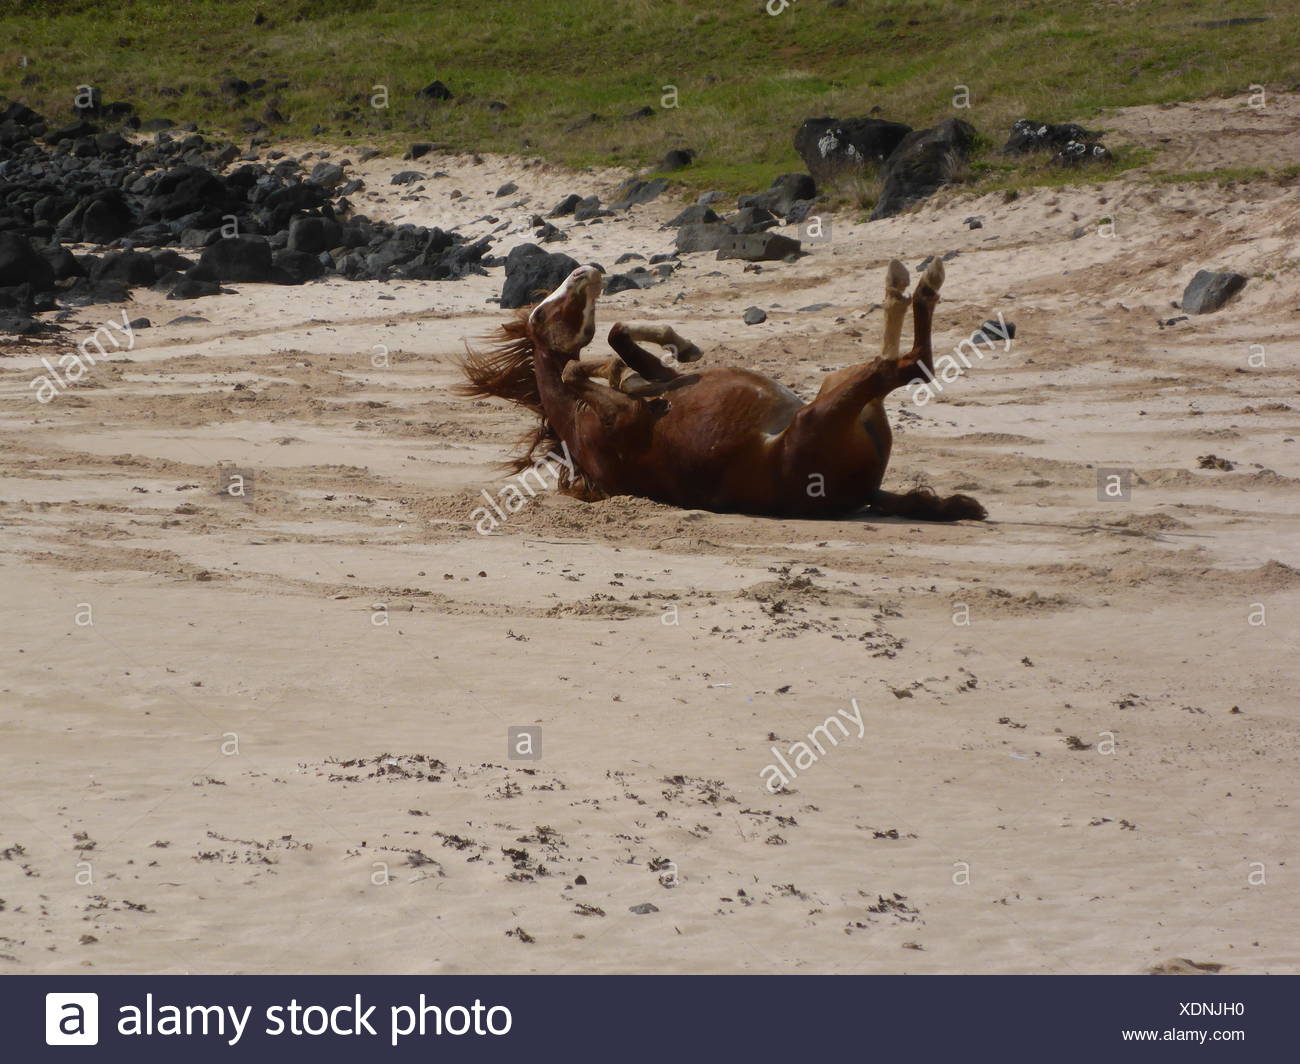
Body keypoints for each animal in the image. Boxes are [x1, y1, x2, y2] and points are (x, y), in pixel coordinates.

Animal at [458, 258, 986, 520]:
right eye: (546, 311)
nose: (582, 271)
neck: (574, 421)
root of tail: (862, 491)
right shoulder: (620, 424)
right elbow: (578, 371)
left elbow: (619, 342)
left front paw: (672, 354)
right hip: (823, 412)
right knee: (907, 366)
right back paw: (915, 284)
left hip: (837, 389)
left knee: (895, 368)